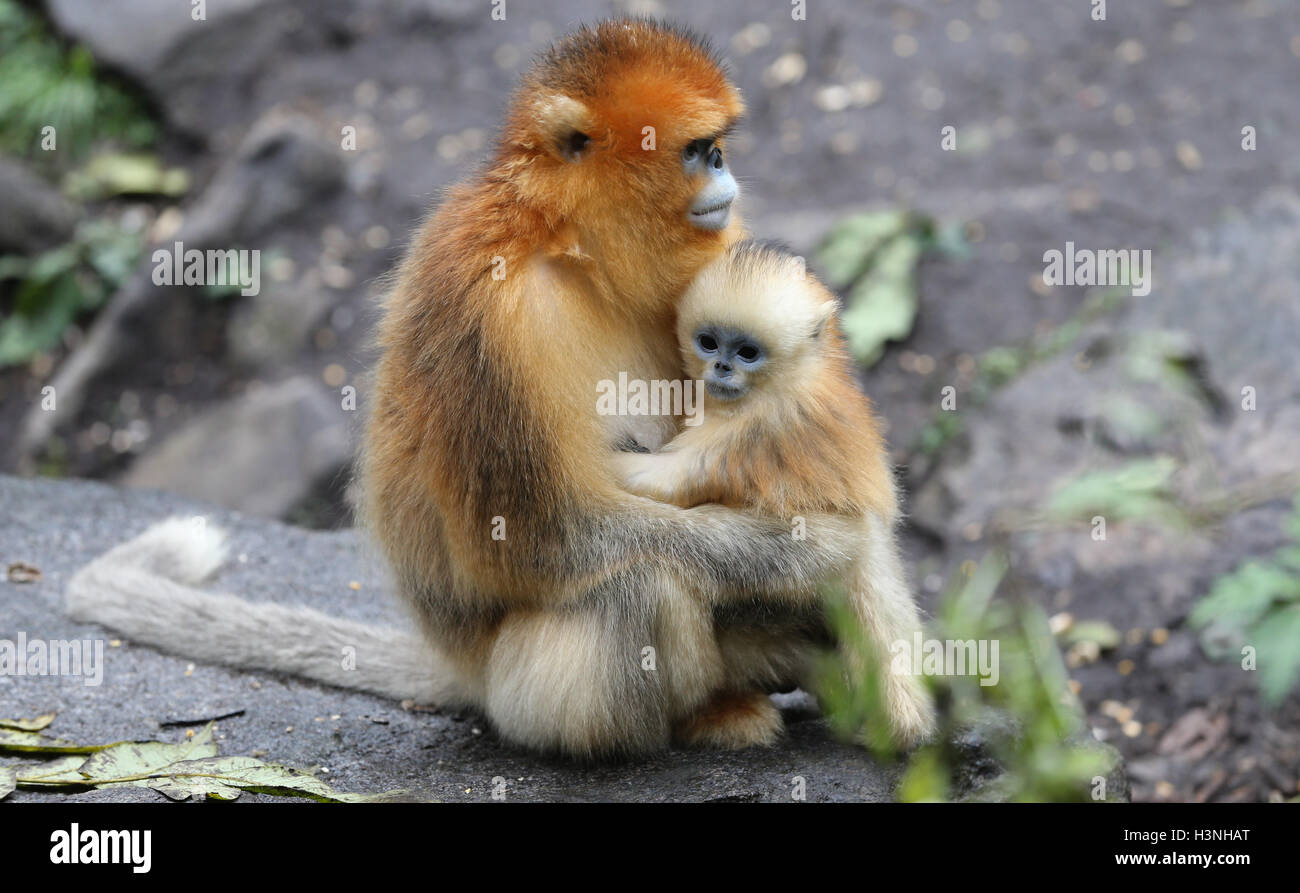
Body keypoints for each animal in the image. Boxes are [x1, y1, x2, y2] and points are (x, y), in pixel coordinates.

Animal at [66, 20, 868, 759]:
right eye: (698, 150)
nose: (726, 171)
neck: (569, 247)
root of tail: (466, 672)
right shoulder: (490, 311)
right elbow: (546, 538)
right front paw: (813, 553)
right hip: (525, 694)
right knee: (635, 580)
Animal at [611, 240, 937, 748]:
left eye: (747, 352)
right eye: (709, 342)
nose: (722, 367)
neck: (786, 381)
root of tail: (875, 546)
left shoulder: (754, 431)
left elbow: (663, 481)